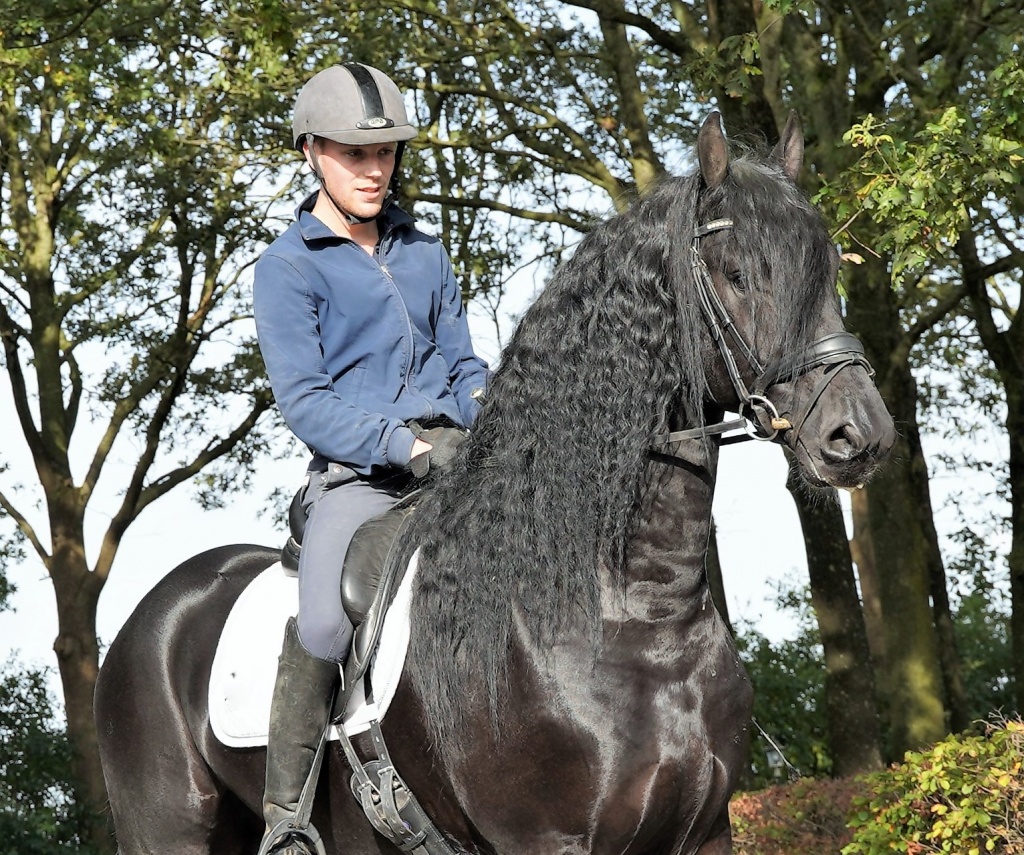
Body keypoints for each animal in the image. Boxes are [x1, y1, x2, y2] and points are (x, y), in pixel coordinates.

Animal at [95, 111, 895, 855]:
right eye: (736, 272)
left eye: (827, 268)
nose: (859, 434)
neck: (633, 609)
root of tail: (153, 612)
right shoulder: (548, 841)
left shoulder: (703, 834)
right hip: (166, 831)